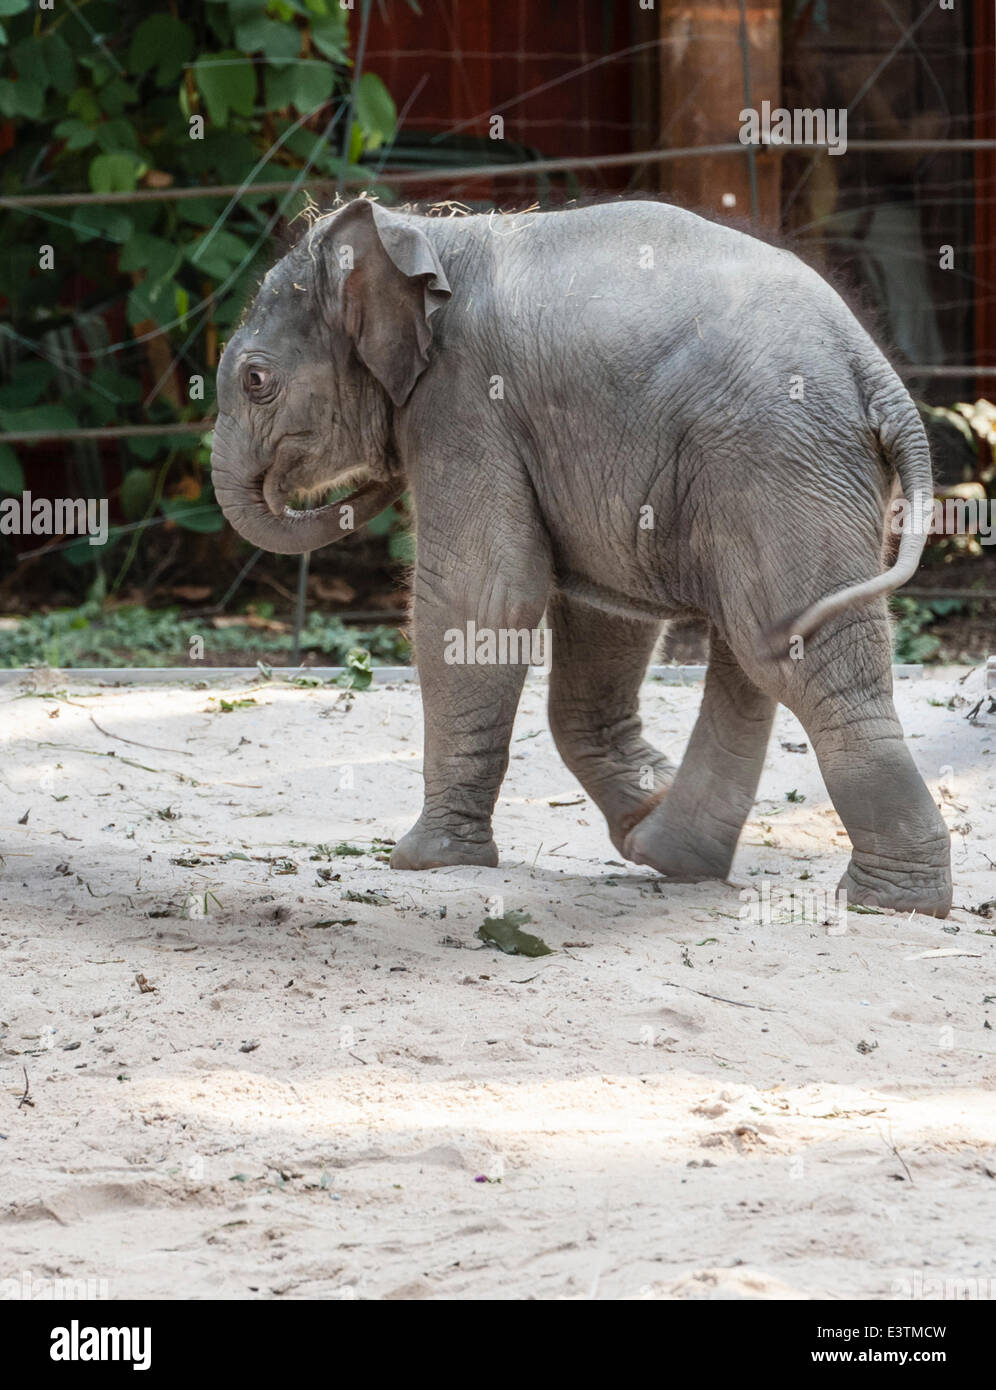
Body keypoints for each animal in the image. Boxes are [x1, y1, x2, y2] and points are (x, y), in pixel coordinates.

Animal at [211, 196, 952, 917]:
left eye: (255, 380)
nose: (376, 481)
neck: (422, 231)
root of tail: (879, 377)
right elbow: (604, 613)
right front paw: (644, 800)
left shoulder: (466, 404)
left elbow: (483, 595)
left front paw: (425, 861)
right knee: (760, 646)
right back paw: (676, 854)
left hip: (777, 459)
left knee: (800, 655)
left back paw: (891, 901)